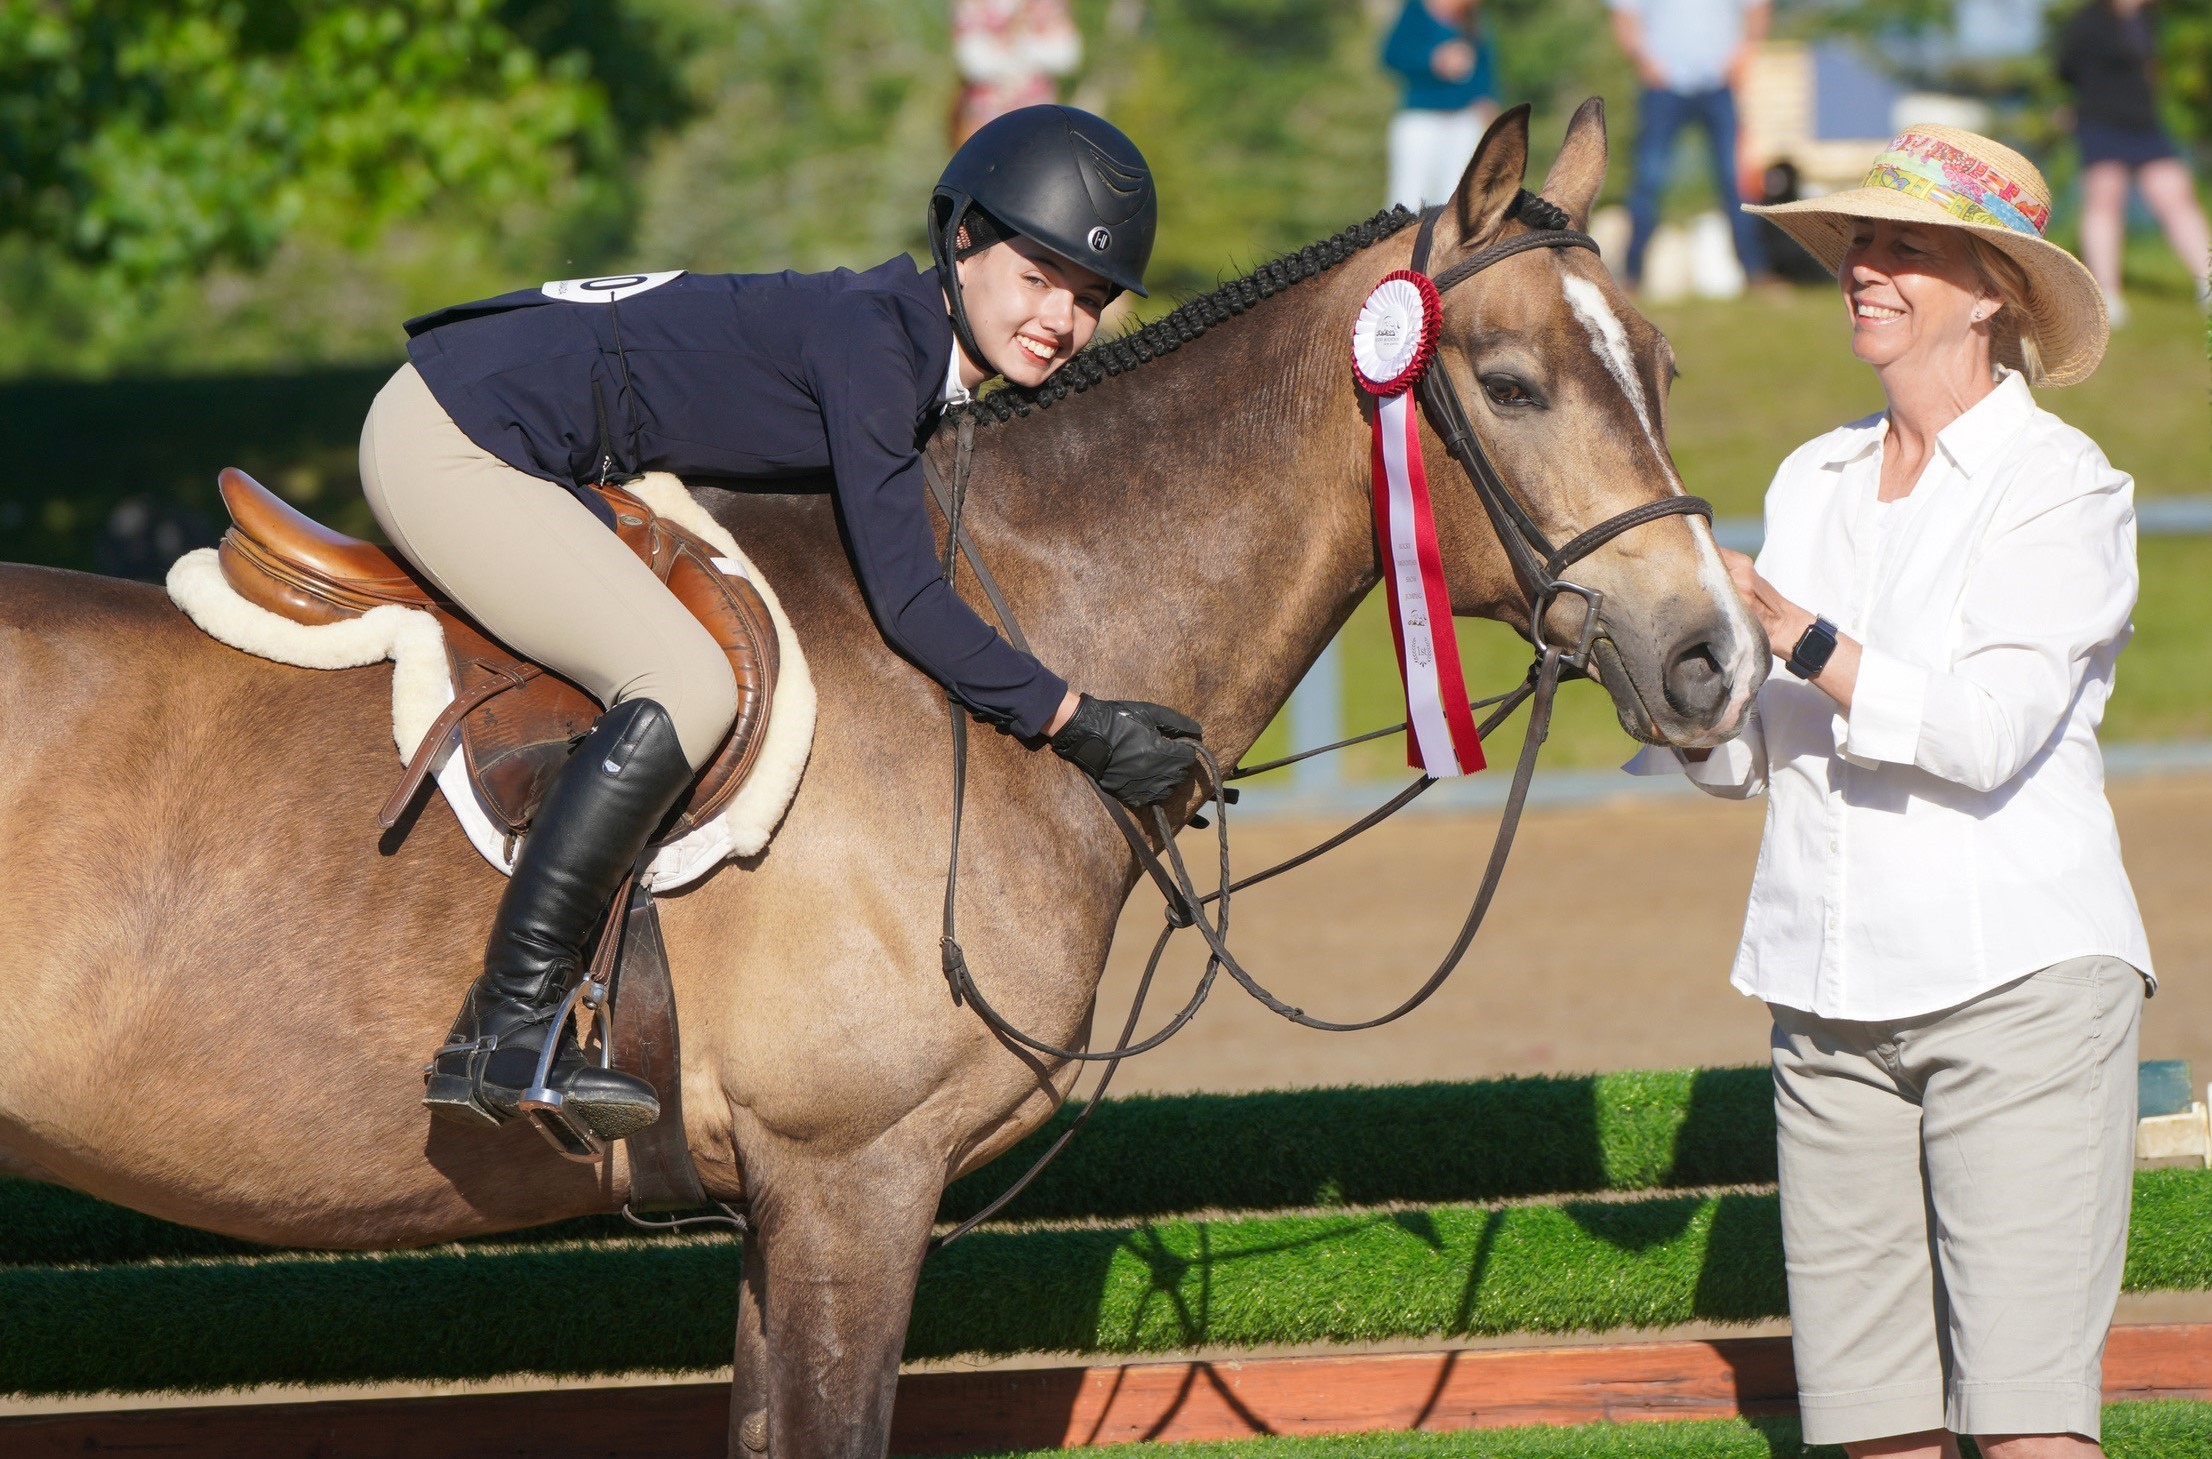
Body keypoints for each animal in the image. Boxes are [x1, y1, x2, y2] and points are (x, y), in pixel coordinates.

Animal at [0, 102, 1761, 1455]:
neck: (999, 652)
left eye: (1670, 368)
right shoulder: (854, 1175)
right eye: (1514, 383)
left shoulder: (788, 1205)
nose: (1715, 661)